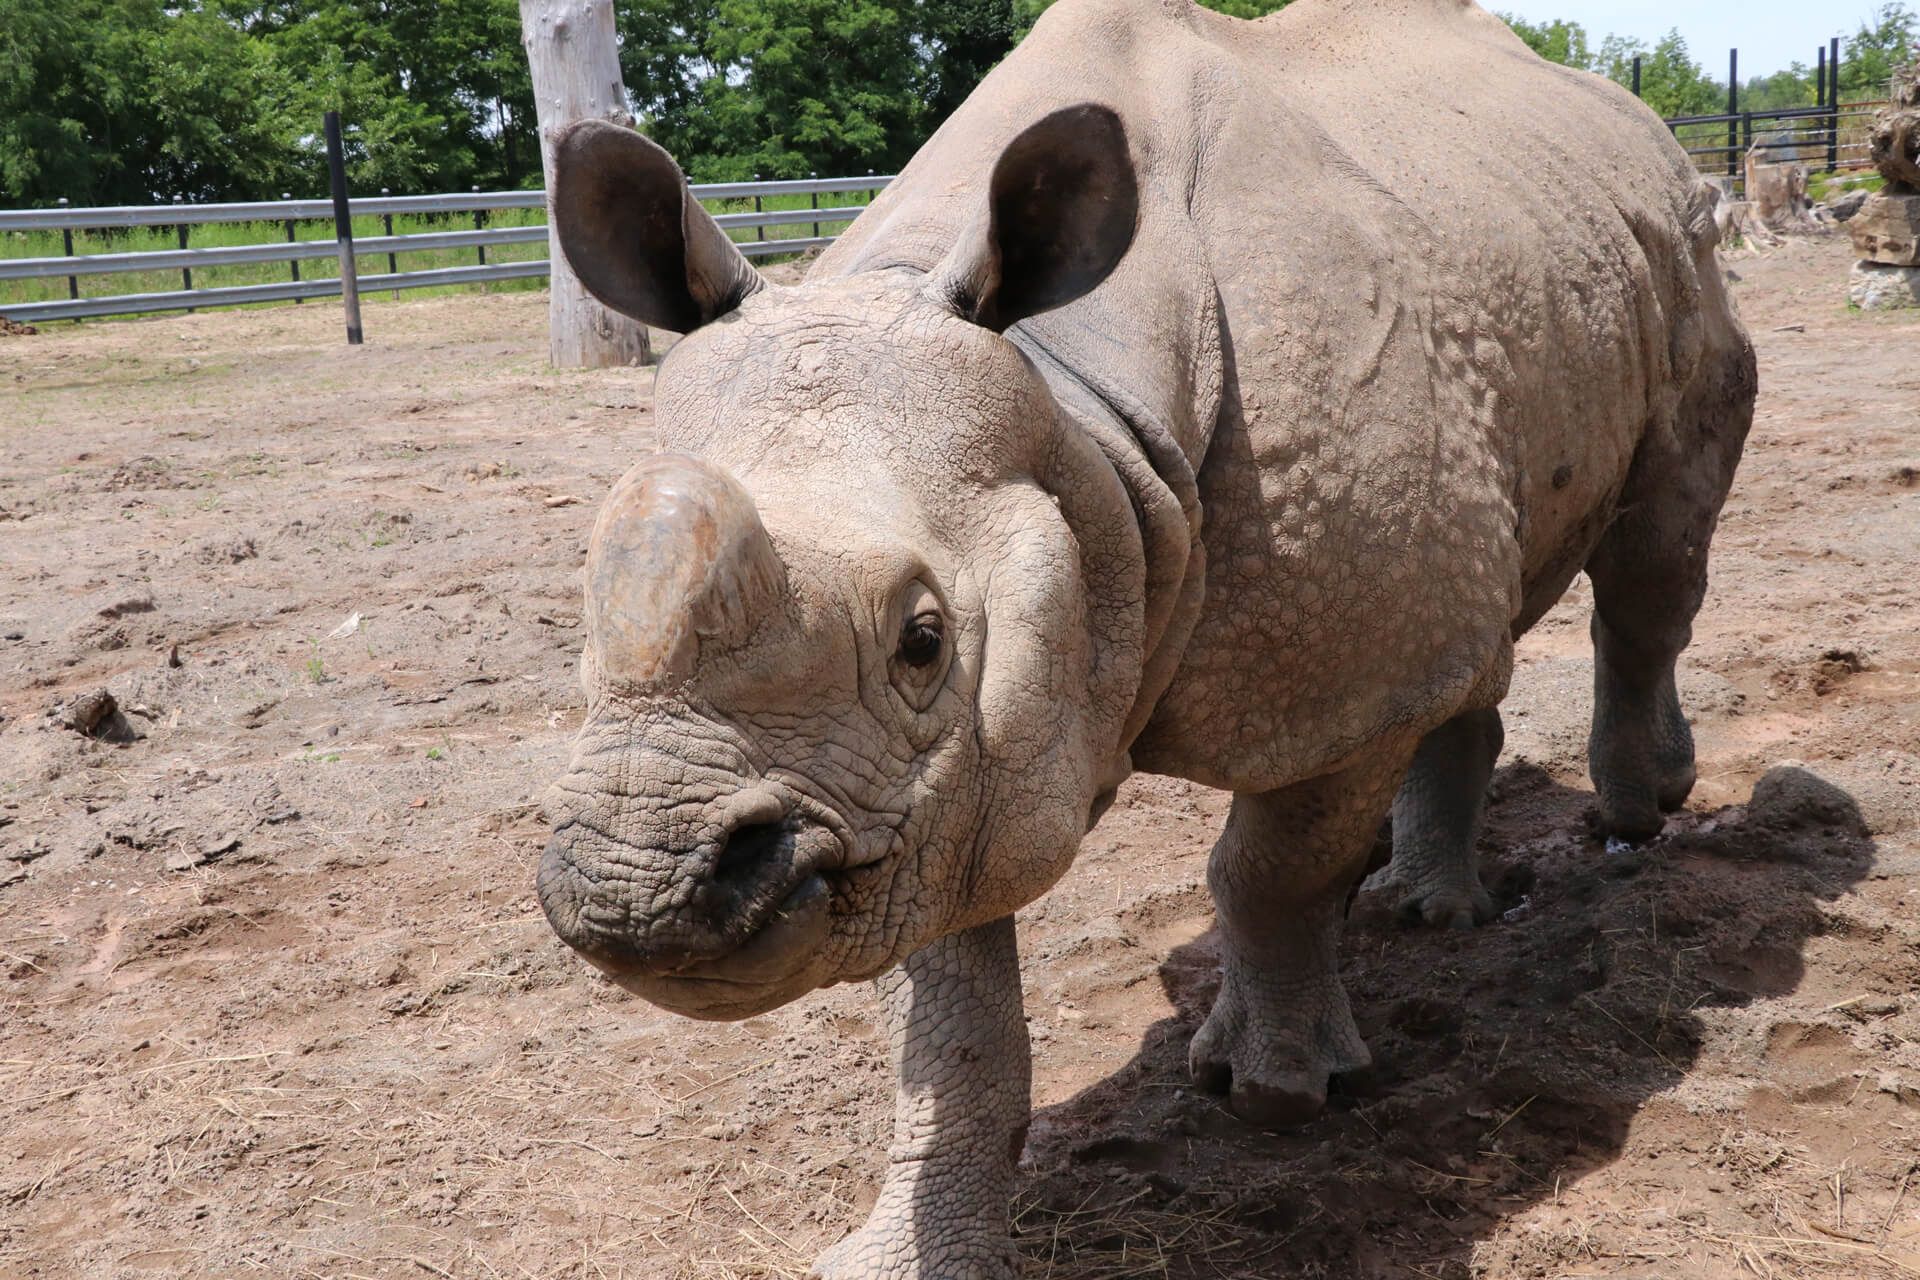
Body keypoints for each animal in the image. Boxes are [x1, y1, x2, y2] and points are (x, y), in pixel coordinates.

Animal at [534, 0, 1755, 1272]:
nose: (635, 892)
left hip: (1681, 251)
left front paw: (1275, 1090)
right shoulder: (911, 792)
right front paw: (913, 1247)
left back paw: (1636, 815)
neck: (1080, 425)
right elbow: (951, 1015)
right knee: (1465, 634)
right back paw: (1424, 905)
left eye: (923, 639)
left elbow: (1269, 868)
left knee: (1649, 559)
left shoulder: (1313, 679)